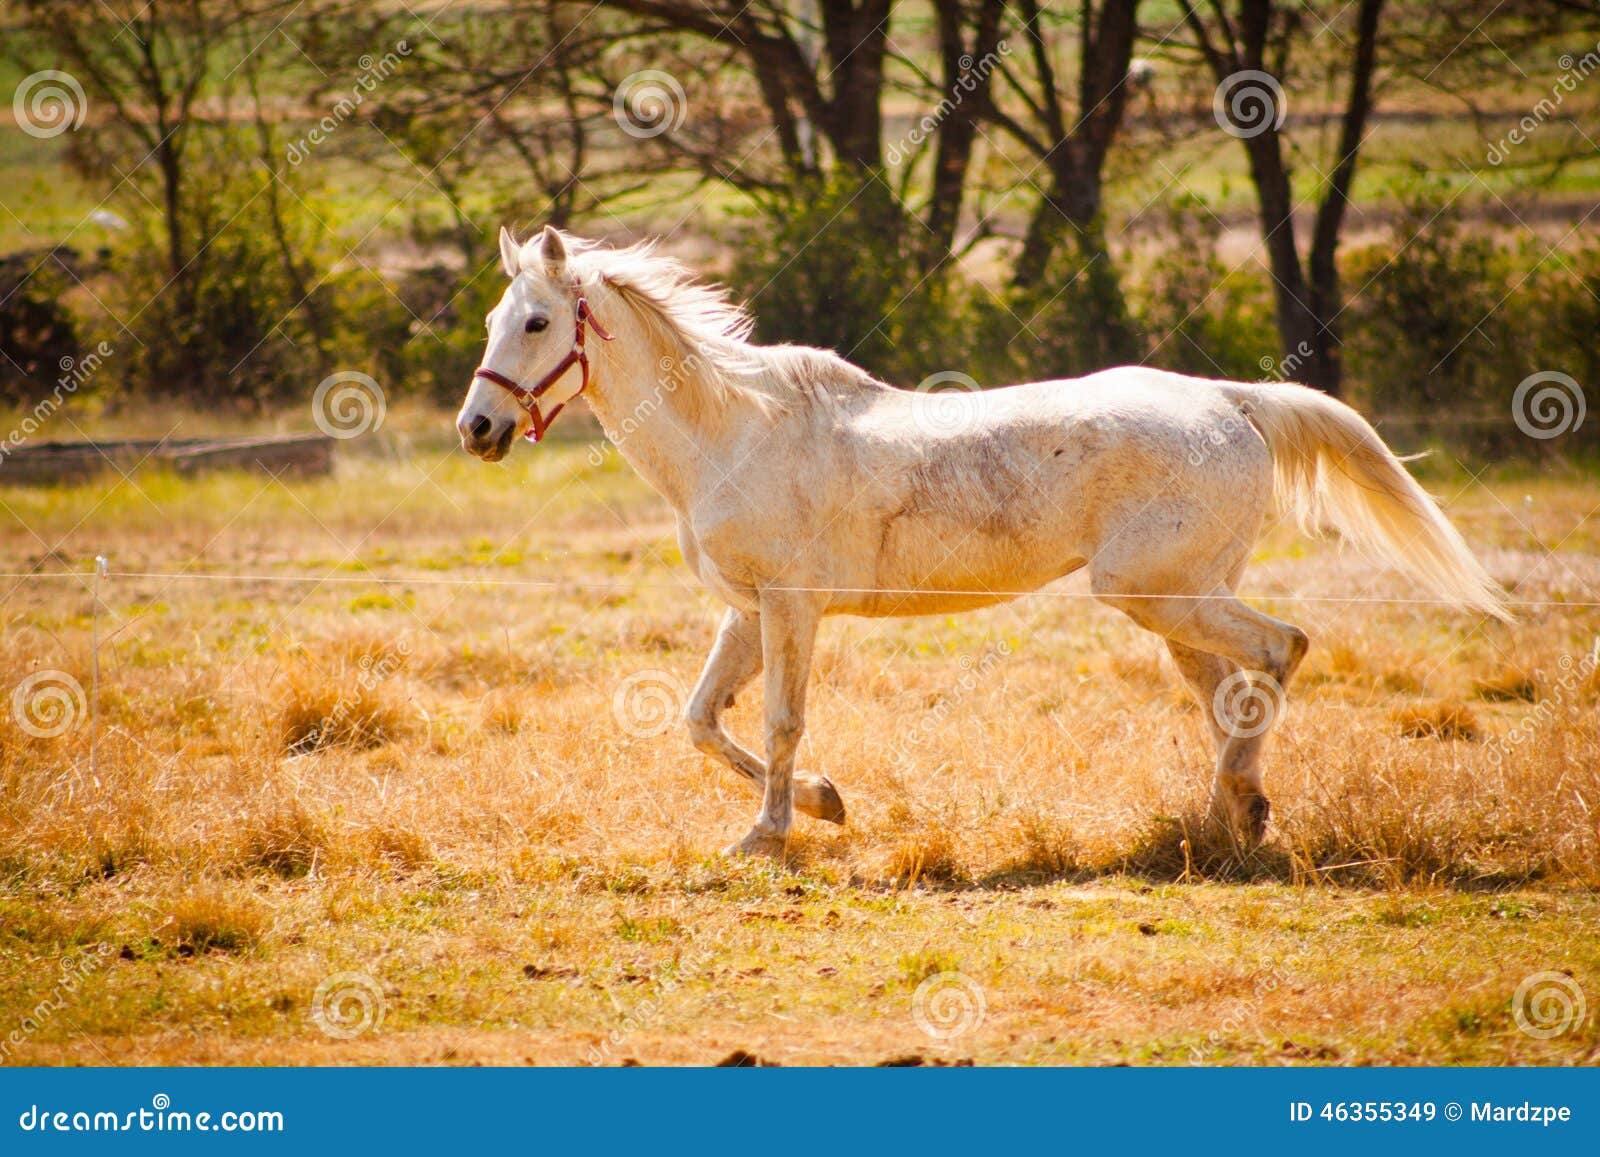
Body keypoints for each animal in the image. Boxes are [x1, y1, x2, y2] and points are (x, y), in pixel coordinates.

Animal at [455, 225, 1507, 858]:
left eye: (538, 321)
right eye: (496, 318)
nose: (478, 429)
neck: (736, 429)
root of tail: (1231, 401)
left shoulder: (792, 607)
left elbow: (779, 722)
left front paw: (772, 835)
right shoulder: (747, 612)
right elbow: (701, 719)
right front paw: (822, 807)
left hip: (1155, 591)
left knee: (1279, 651)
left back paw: (1239, 807)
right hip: (1177, 602)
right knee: (1231, 692)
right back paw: (1224, 825)